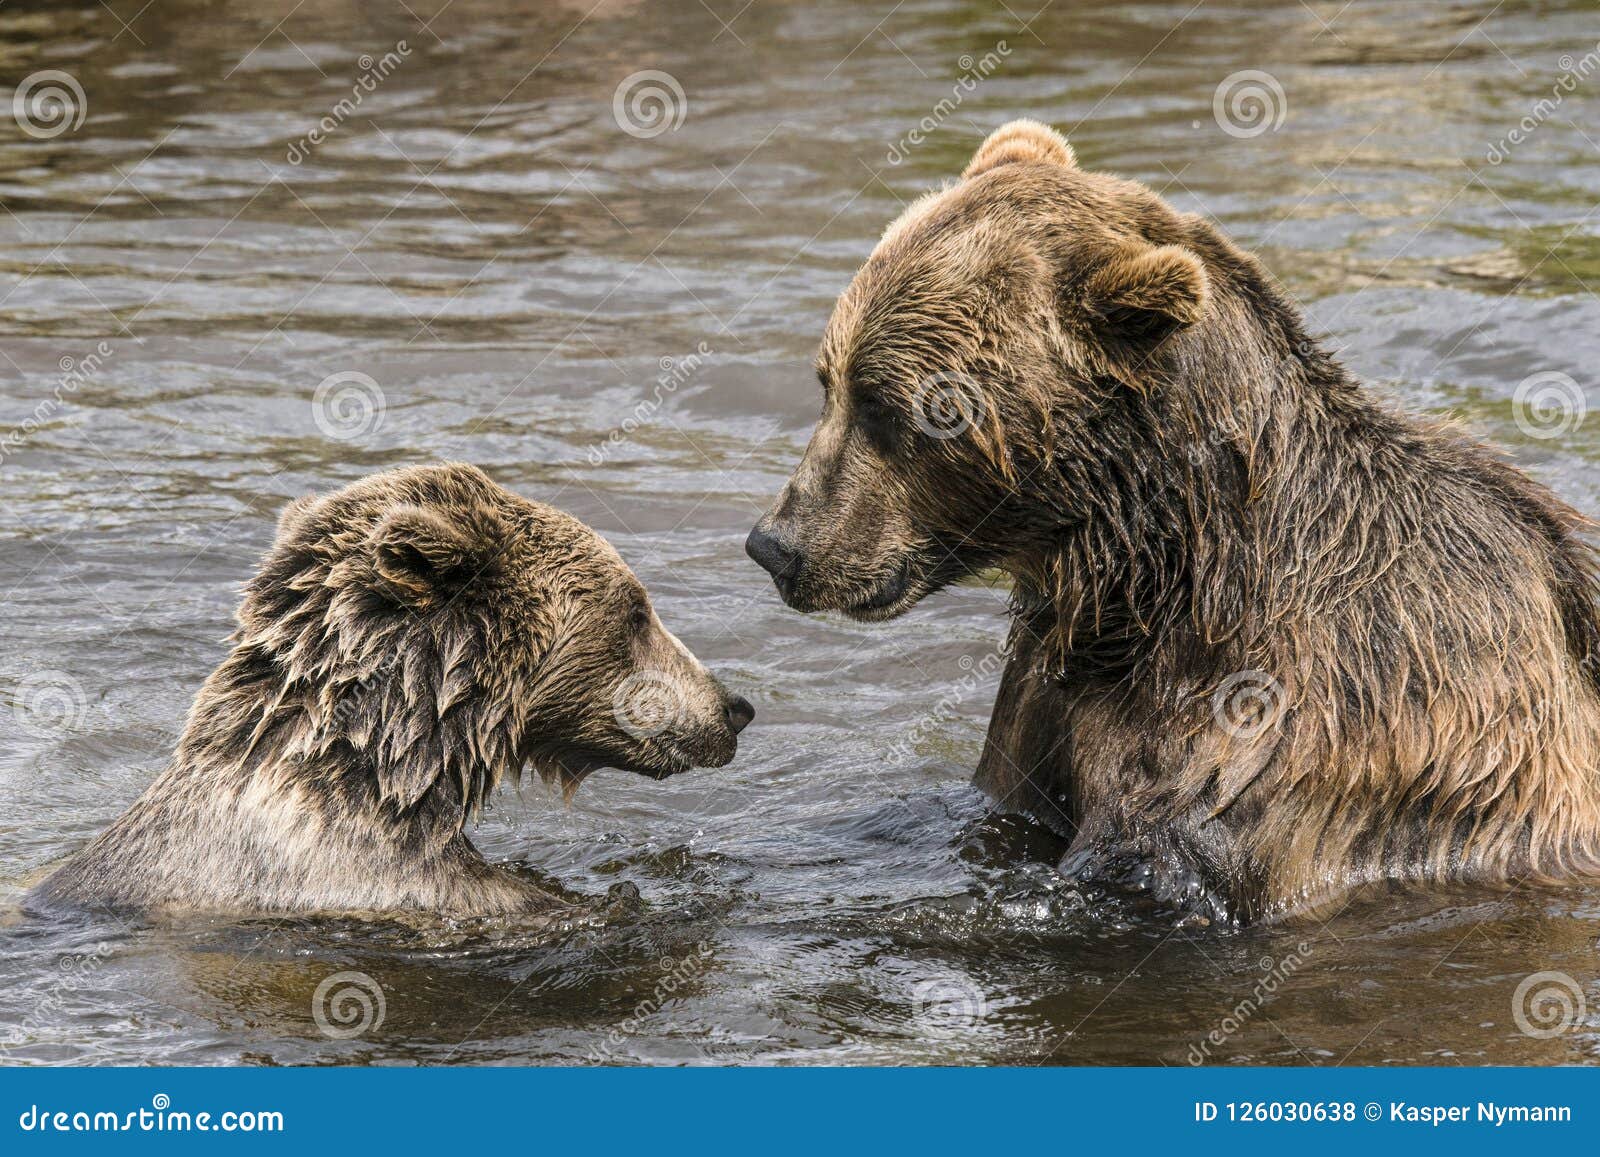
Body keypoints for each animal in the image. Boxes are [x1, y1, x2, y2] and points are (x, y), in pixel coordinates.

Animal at [746, 119, 1600, 923]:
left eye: (888, 405)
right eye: (829, 380)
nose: (776, 545)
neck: (1153, 576)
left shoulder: (1282, 743)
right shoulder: (1043, 715)